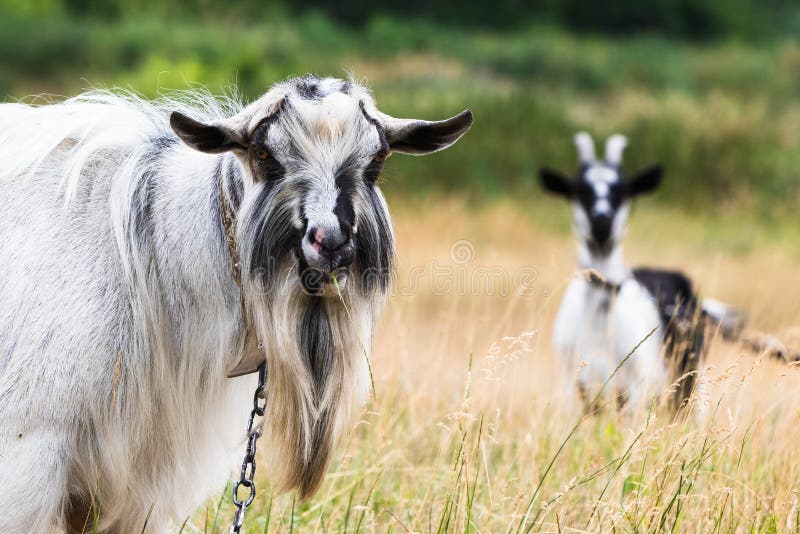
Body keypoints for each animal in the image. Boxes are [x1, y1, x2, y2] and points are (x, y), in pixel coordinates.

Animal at [0, 76, 472, 532]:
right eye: (263, 153)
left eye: (376, 160)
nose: (330, 241)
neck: (147, 250)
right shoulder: (29, 458)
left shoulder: (139, 490)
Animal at [539, 132, 732, 411]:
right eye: (579, 191)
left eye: (623, 191)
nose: (602, 221)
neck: (599, 324)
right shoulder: (575, 389)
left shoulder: (636, 391)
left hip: (691, 386)